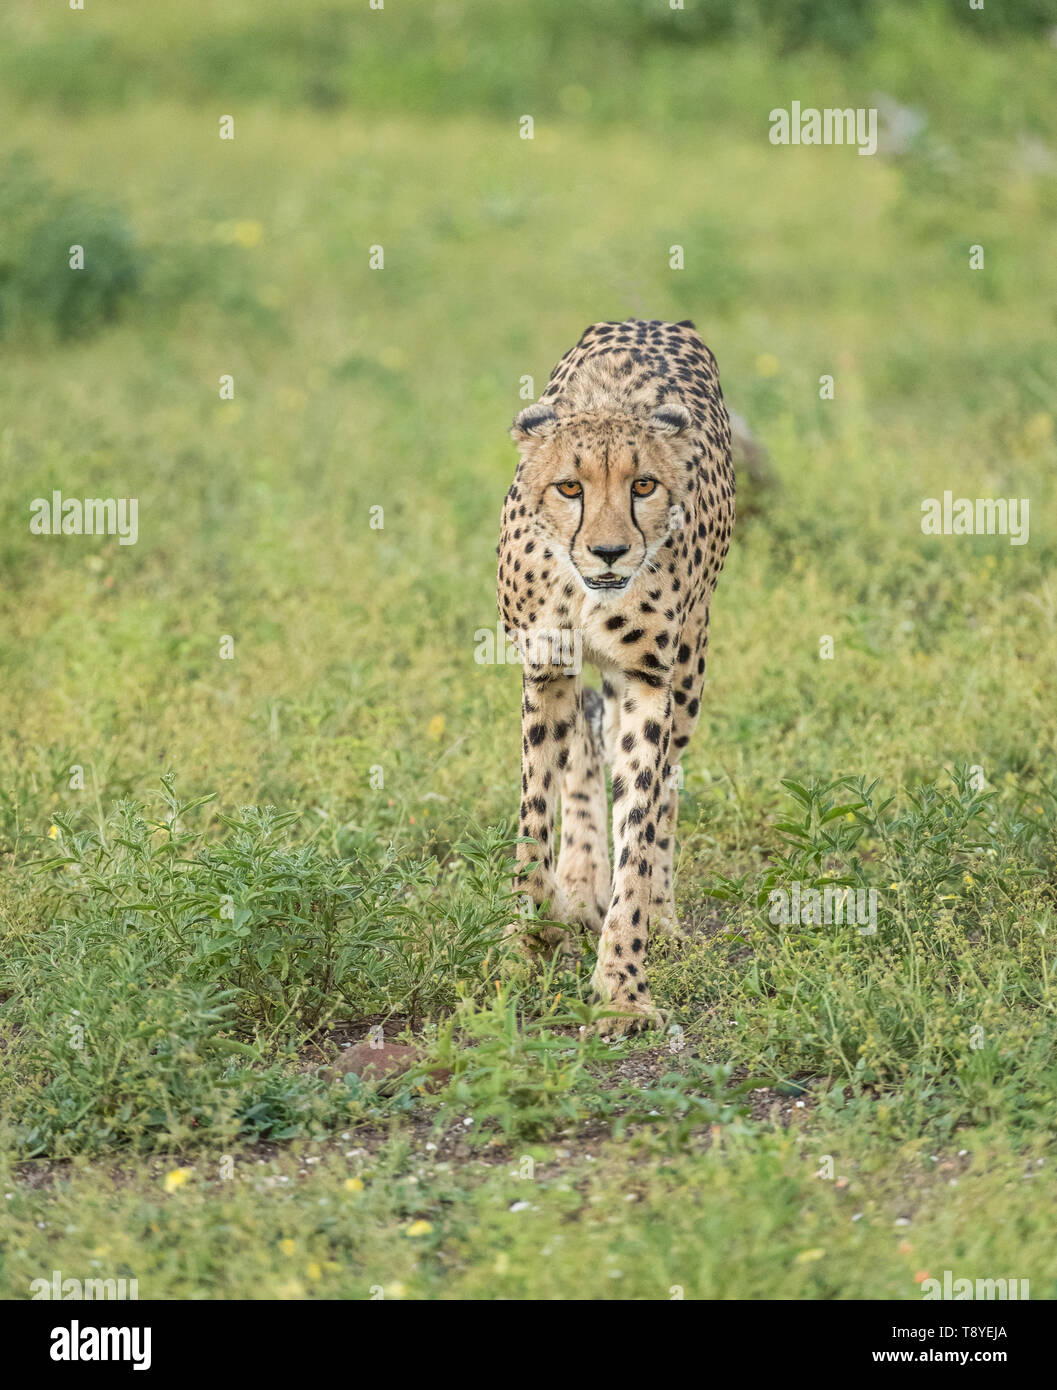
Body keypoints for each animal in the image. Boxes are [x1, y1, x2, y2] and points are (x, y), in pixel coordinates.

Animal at [496, 317, 735, 1032]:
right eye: (570, 487)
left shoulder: (648, 681)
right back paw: (577, 888)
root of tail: (662, 319)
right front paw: (526, 942)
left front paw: (623, 987)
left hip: (691, 664)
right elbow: (534, 818)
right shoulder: (544, 669)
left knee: (665, 790)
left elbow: (640, 822)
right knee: (581, 757)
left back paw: (661, 917)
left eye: (644, 486)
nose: (609, 550)